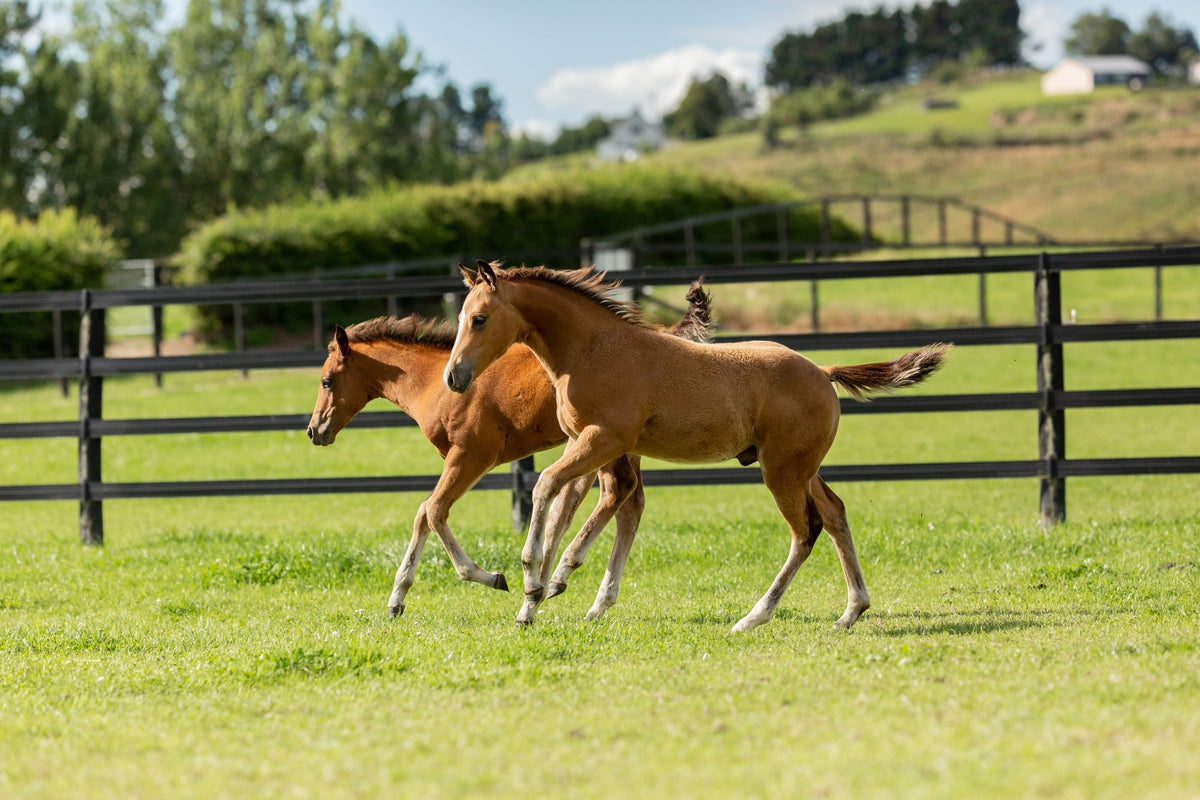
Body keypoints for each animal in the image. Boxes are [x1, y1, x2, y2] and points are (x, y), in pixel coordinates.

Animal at [307, 279, 714, 619]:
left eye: (327, 380)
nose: (314, 430)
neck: (433, 384)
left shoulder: (471, 455)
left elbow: (434, 510)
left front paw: (489, 577)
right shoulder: (459, 460)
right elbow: (424, 513)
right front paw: (397, 600)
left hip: (604, 441)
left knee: (618, 493)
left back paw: (560, 578)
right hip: (616, 445)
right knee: (628, 504)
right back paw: (575, 589)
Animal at [444, 260, 950, 631]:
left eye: (479, 319)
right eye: (461, 317)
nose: (454, 377)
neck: (592, 350)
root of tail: (824, 373)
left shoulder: (603, 440)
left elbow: (545, 488)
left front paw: (534, 581)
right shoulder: (589, 445)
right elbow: (565, 510)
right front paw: (532, 603)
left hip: (781, 471)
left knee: (805, 531)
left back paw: (753, 617)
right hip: (802, 468)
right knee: (834, 512)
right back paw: (851, 611)